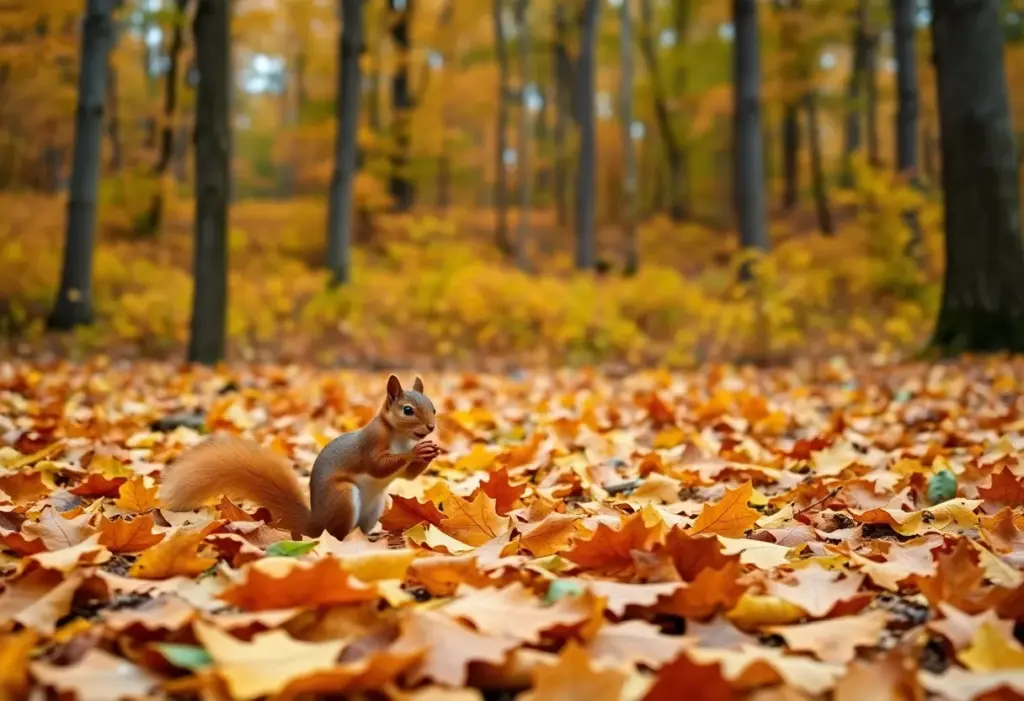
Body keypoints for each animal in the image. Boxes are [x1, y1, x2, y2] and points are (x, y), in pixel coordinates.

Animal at [158, 374, 441, 541]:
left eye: (434, 408)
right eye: (407, 410)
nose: (431, 427)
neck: (399, 436)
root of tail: (315, 523)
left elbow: (408, 475)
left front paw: (430, 452)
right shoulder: (371, 444)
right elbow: (377, 466)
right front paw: (415, 452)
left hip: (375, 506)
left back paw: (372, 536)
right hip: (343, 497)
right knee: (338, 534)